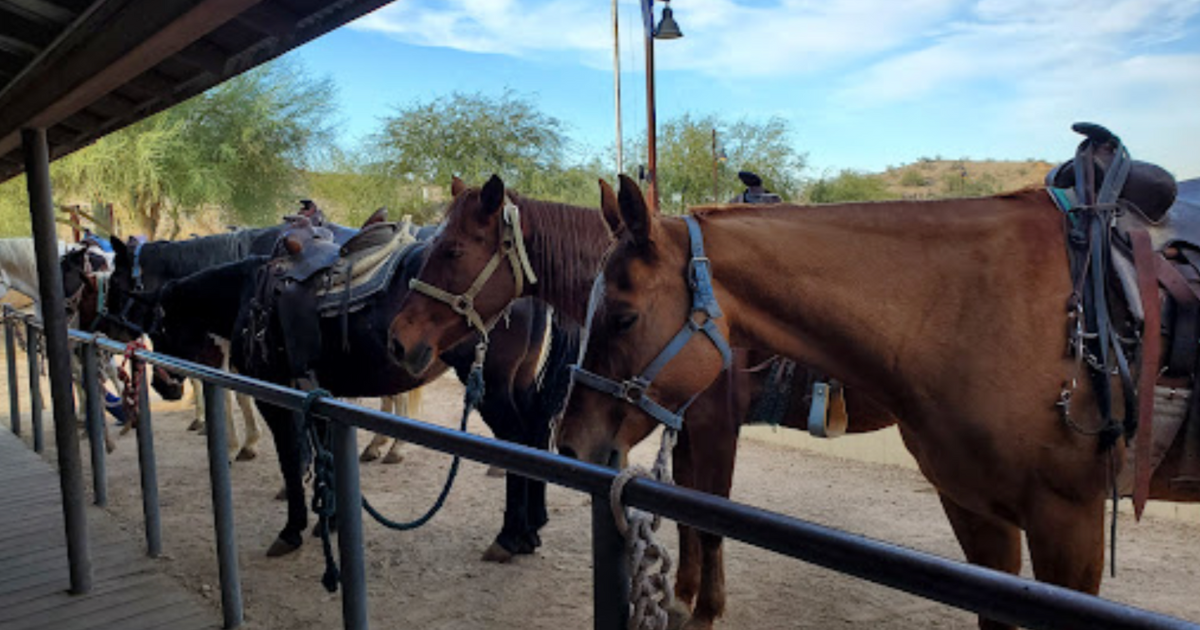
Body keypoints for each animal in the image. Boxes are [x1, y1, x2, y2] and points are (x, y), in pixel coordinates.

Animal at [129, 225, 575, 561]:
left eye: (158, 324)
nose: (163, 387)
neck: (249, 295)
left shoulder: (276, 398)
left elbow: (290, 460)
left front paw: (292, 529)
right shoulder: (321, 398)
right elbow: (324, 451)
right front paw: (330, 521)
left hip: (492, 388)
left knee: (517, 442)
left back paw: (509, 536)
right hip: (518, 382)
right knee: (537, 433)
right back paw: (532, 527)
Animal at [385, 175, 896, 628]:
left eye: (452, 250)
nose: (397, 338)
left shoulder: (715, 429)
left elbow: (710, 524)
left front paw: (707, 611)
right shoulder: (684, 426)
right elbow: (686, 514)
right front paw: (683, 597)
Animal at [556, 171, 1200, 630]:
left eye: (622, 316)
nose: (567, 444)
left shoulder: (1069, 525)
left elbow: (707, 516)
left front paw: (704, 609)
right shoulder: (978, 515)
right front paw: (689, 598)